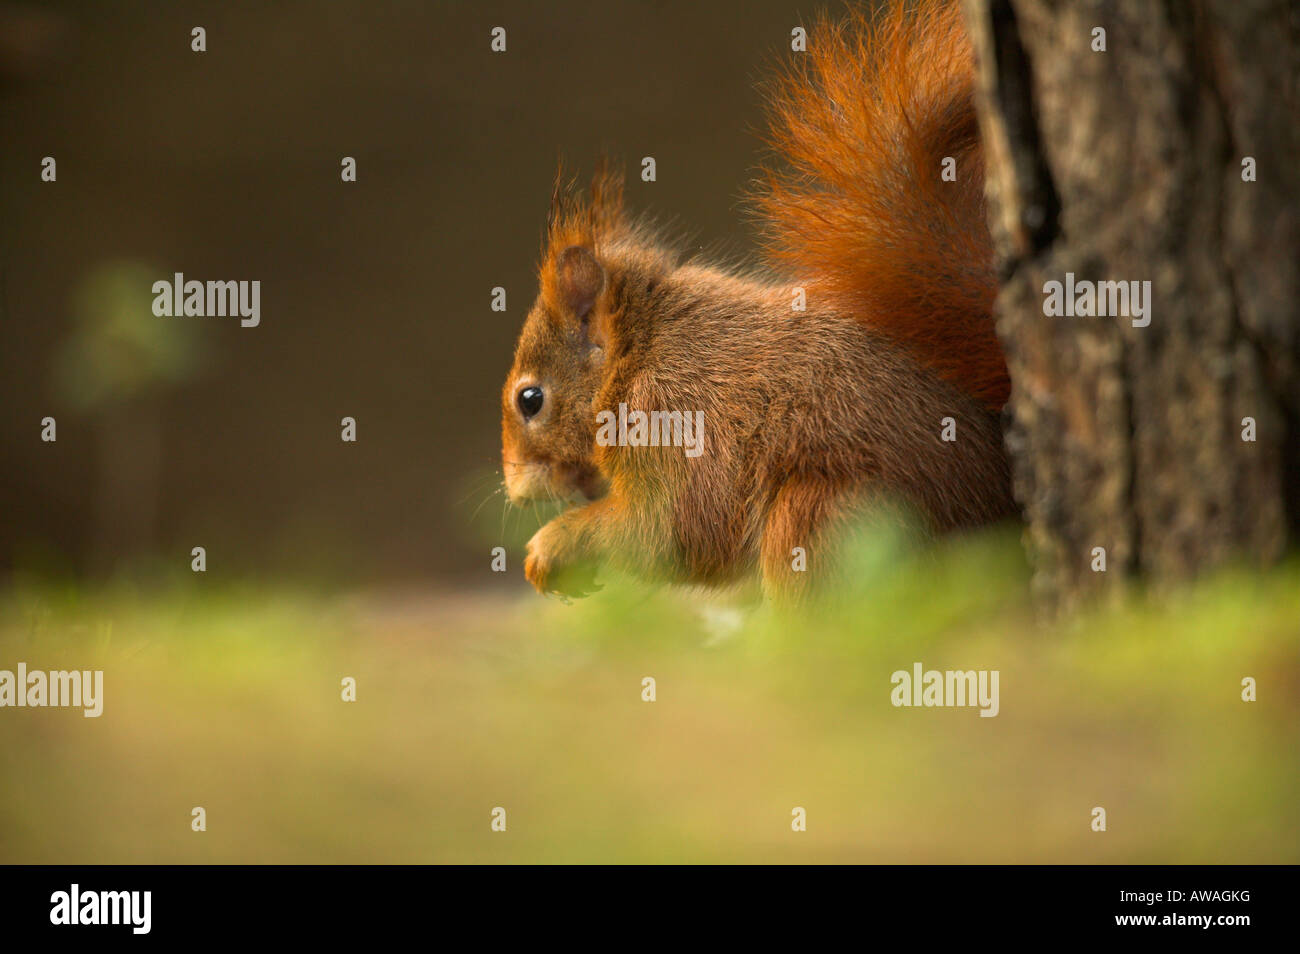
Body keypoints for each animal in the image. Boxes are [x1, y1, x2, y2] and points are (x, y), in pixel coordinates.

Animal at [501, 0, 1014, 603]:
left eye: (530, 400)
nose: (513, 489)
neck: (639, 358)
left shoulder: (680, 424)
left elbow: (673, 529)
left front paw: (554, 544)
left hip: (823, 515)